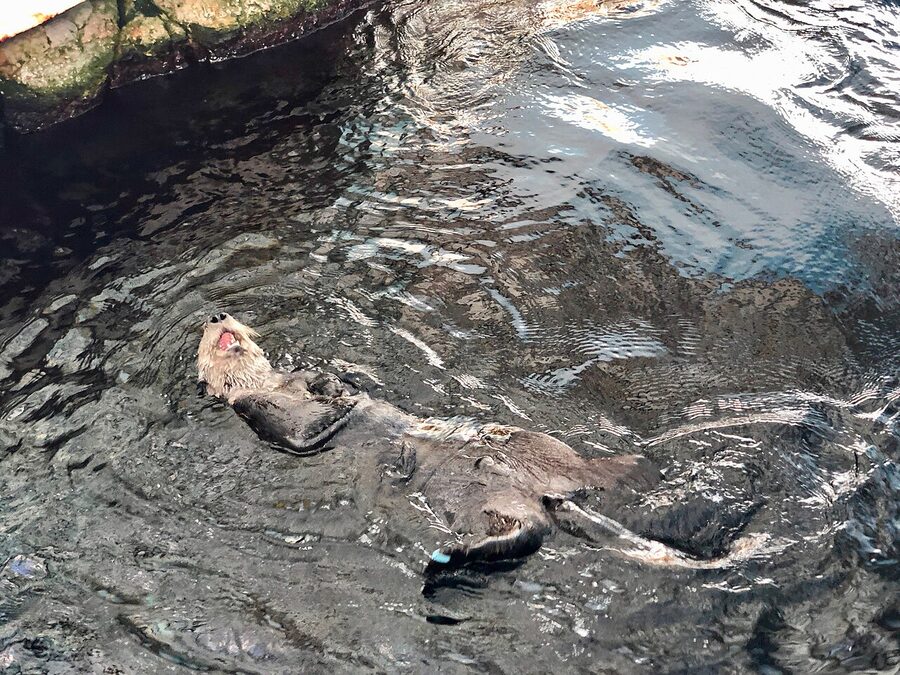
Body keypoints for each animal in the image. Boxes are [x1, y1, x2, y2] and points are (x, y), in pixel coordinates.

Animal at [197, 313, 660, 569]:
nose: (217, 316)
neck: (271, 383)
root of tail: (546, 493)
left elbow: (323, 384)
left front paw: (331, 384)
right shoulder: (257, 411)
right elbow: (300, 431)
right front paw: (333, 402)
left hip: (542, 451)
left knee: (587, 475)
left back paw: (637, 468)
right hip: (476, 503)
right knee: (526, 533)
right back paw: (447, 558)